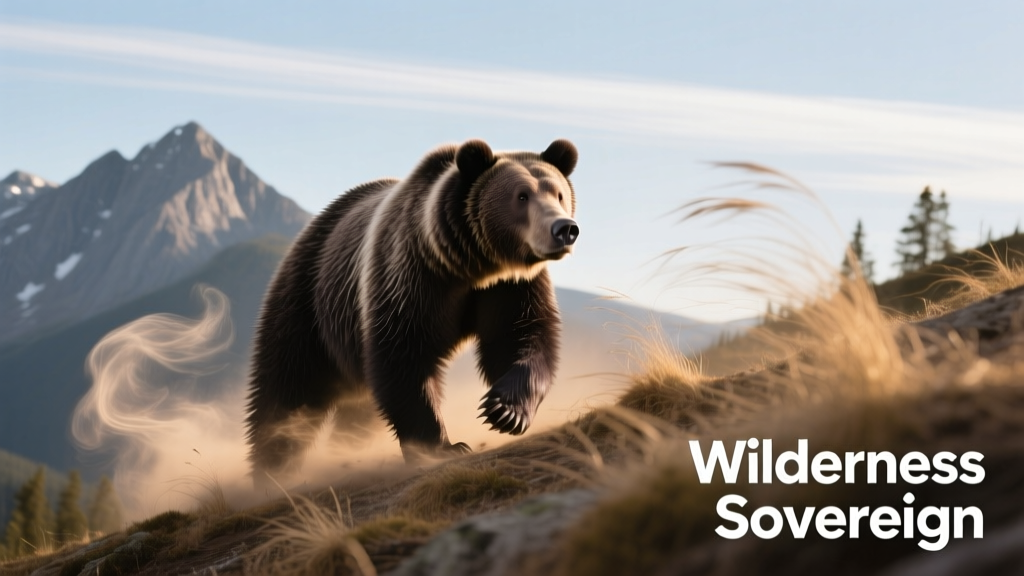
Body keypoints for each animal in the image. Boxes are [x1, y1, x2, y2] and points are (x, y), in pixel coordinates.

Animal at [245, 139, 580, 483]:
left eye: (559, 194)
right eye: (522, 195)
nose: (564, 229)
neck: (472, 264)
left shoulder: (510, 286)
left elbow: (522, 336)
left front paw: (504, 411)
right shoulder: (411, 275)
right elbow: (404, 357)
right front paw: (443, 446)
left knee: (356, 413)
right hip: (308, 303)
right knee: (286, 390)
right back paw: (271, 471)